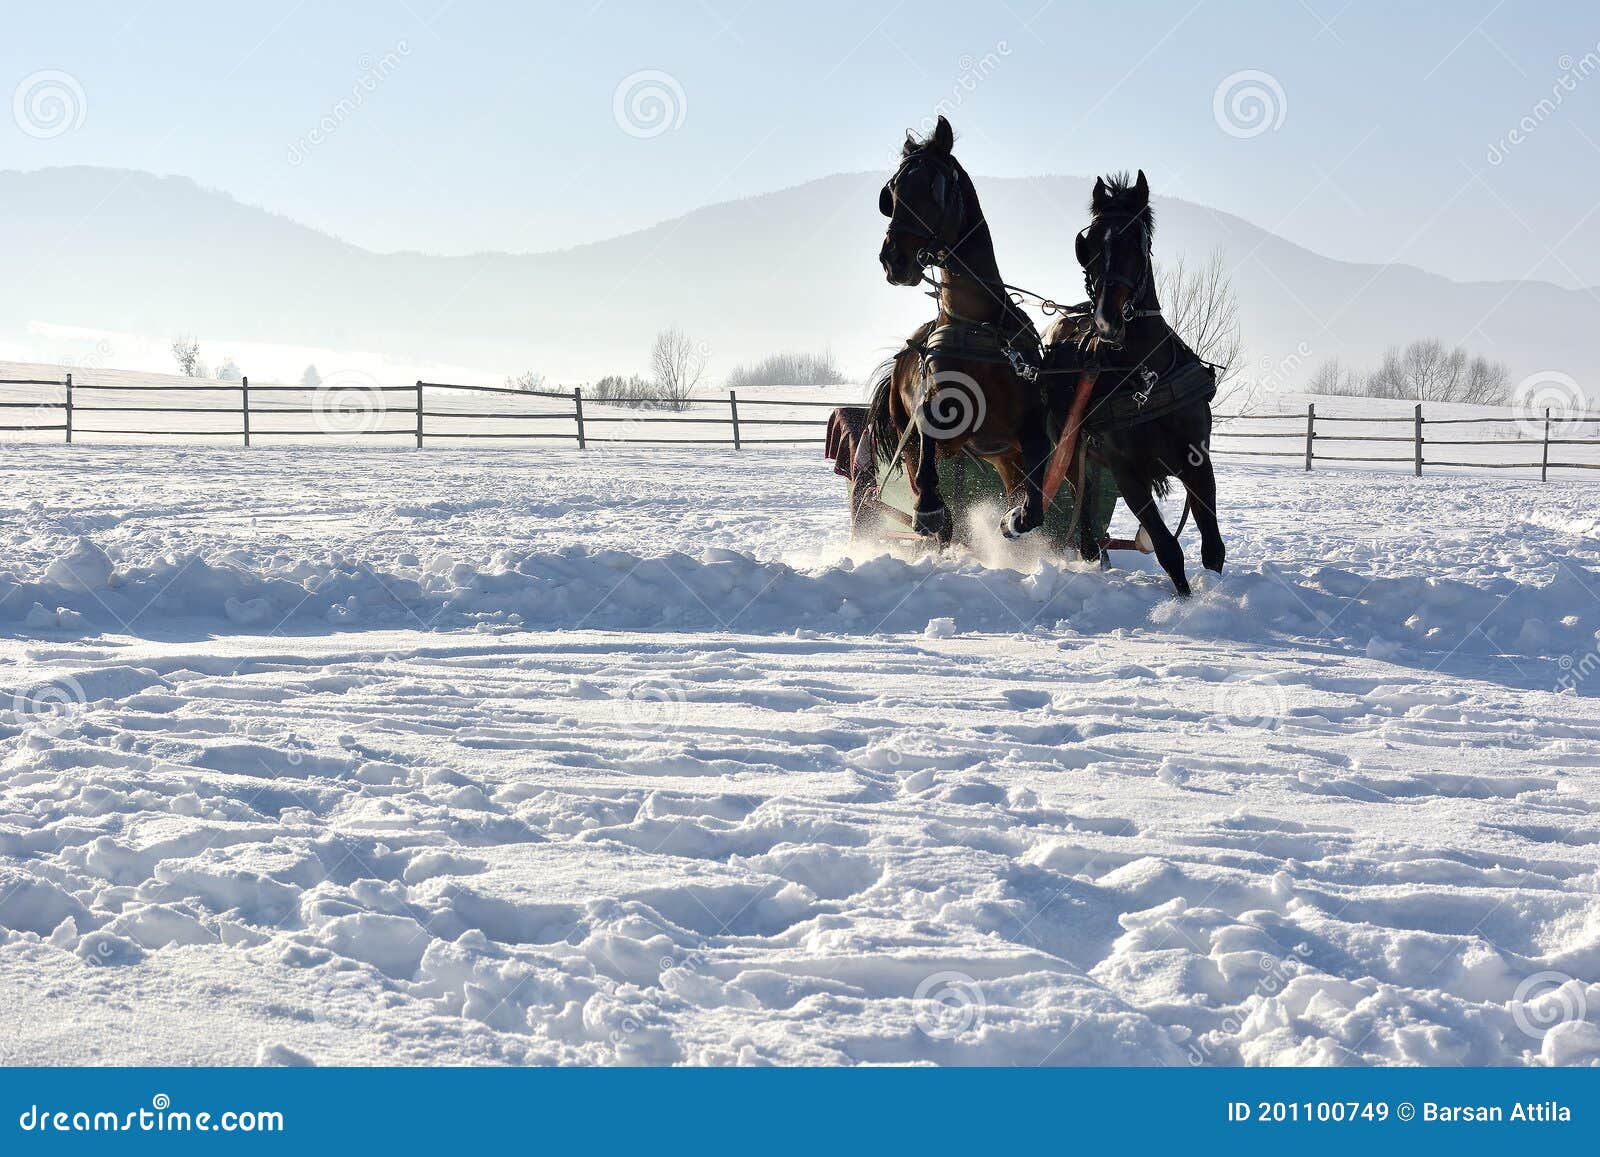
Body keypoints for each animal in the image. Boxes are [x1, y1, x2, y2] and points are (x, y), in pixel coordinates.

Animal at [865, 116, 1050, 543]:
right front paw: (931, 511)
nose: (893, 259)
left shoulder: (1029, 428)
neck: (977, 330)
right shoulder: (933, 415)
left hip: (1002, 454)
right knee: (918, 470)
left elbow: (1034, 493)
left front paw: (1014, 518)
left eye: (934, 187)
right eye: (893, 191)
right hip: (911, 434)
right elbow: (928, 457)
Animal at [1040, 171, 1225, 596]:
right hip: (1069, 449)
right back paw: (1090, 552)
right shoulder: (1126, 472)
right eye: (1088, 244)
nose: (1106, 322)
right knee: (1081, 498)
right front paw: (1185, 601)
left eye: (1134, 241)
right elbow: (1168, 548)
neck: (1145, 376)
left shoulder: (1197, 459)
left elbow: (1212, 545)